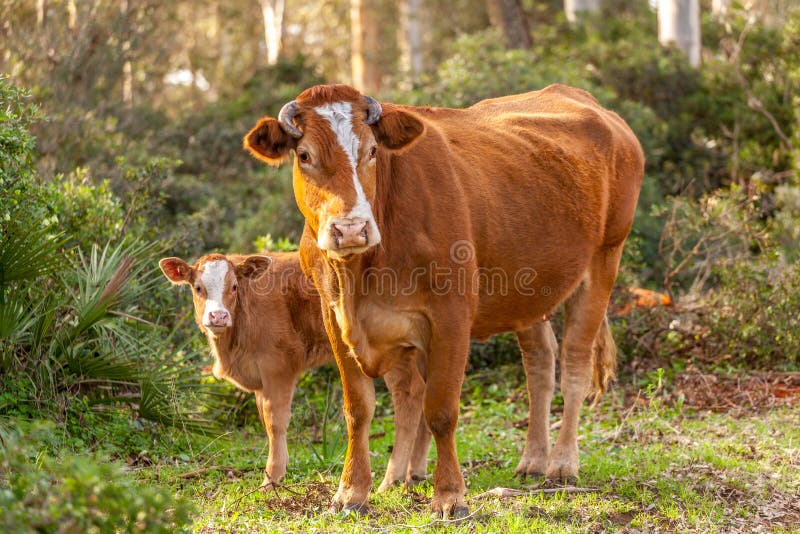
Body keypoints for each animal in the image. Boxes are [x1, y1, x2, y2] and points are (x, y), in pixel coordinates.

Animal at [158, 252, 433, 491]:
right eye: (197, 288)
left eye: (234, 286)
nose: (218, 316)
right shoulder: (260, 381)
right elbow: (265, 420)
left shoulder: (278, 366)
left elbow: (275, 422)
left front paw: (272, 479)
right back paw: (415, 473)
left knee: (409, 395)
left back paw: (392, 479)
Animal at [243, 83, 644, 517]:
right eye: (304, 156)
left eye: (372, 151)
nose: (351, 229)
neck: (361, 272)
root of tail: (589, 101)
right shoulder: (333, 316)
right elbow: (358, 410)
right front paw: (352, 492)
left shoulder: (451, 315)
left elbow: (440, 409)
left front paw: (449, 495)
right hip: (530, 290)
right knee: (539, 364)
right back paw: (534, 459)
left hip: (605, 260)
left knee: (574, 365)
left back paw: (563, 463)